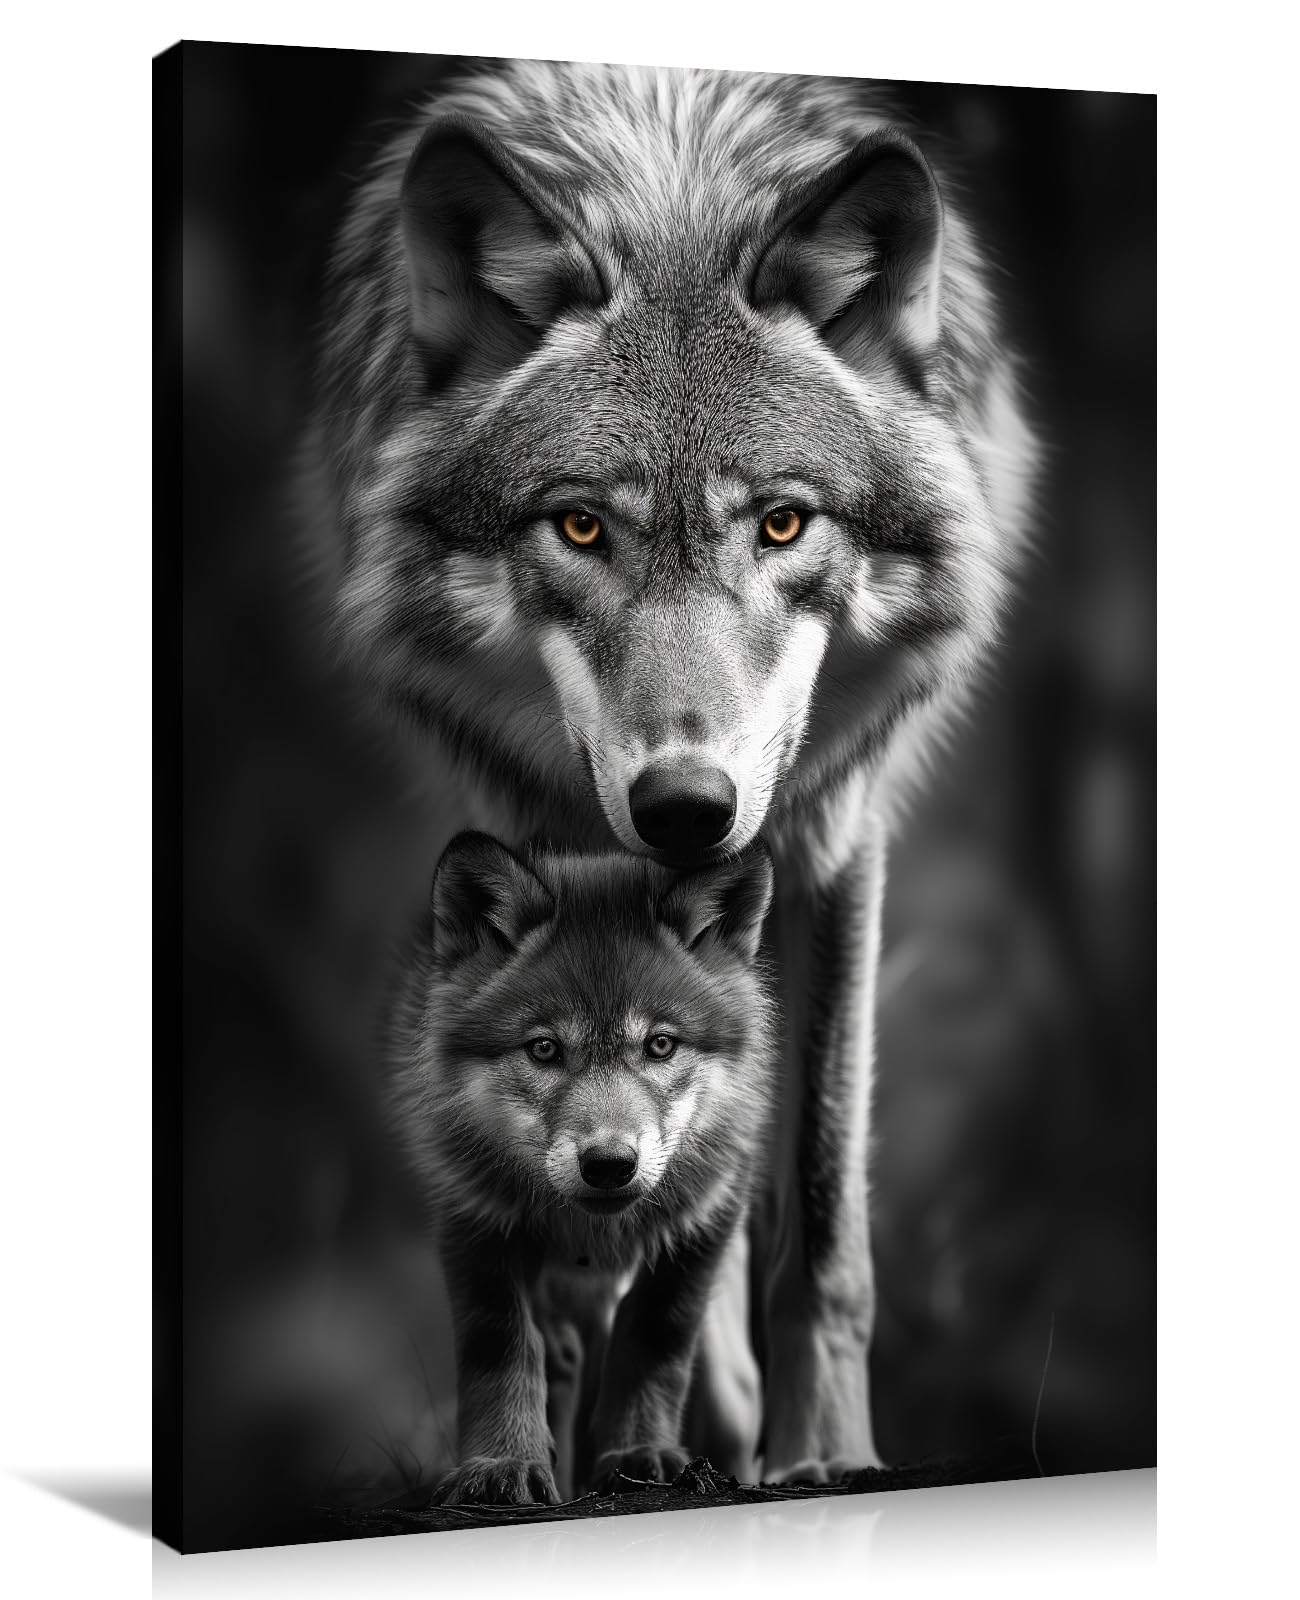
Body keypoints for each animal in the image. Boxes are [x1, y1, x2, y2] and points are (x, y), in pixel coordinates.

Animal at [389, 832, 775, 1504]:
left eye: (660, 1045)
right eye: (544, 1049)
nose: (610, 1165)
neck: (593, 1235)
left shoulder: (702, 1222)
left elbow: (654, 1340)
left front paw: (639, 1454)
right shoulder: (475, 1219)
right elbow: (502, 1349)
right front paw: (502, 1464)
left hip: (727, 1369)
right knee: (561, 1356)